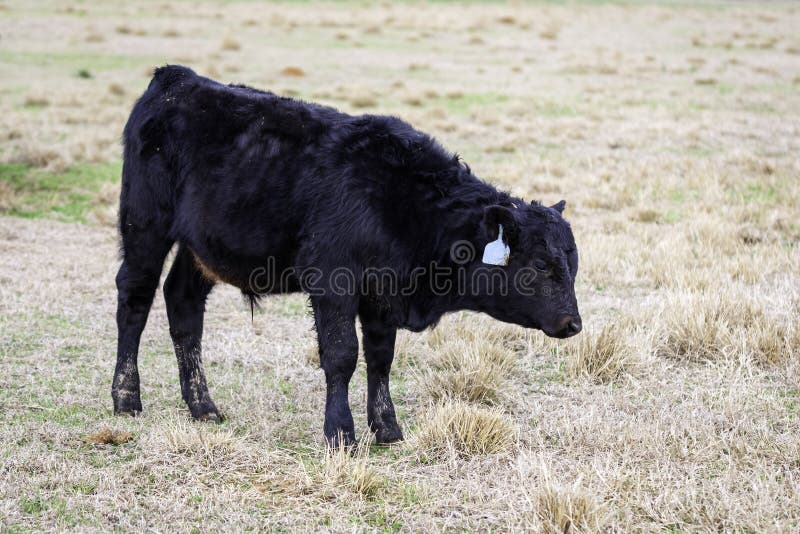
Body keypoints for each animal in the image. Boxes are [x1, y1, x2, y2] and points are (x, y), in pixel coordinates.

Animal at [113, 65, 581, 447]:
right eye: (541, 266)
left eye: (573, 266)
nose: (573, 323)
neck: (404, 203)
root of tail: (177, 79)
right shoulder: (333, 283)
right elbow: (341, 355)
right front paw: (340, 432)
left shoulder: (382, 296)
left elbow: (381, 358)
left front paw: (387, 427)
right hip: (144, 226)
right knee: (134, 299)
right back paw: (126, 397)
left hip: (199, 250)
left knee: (183, 307)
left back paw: (203, 406)